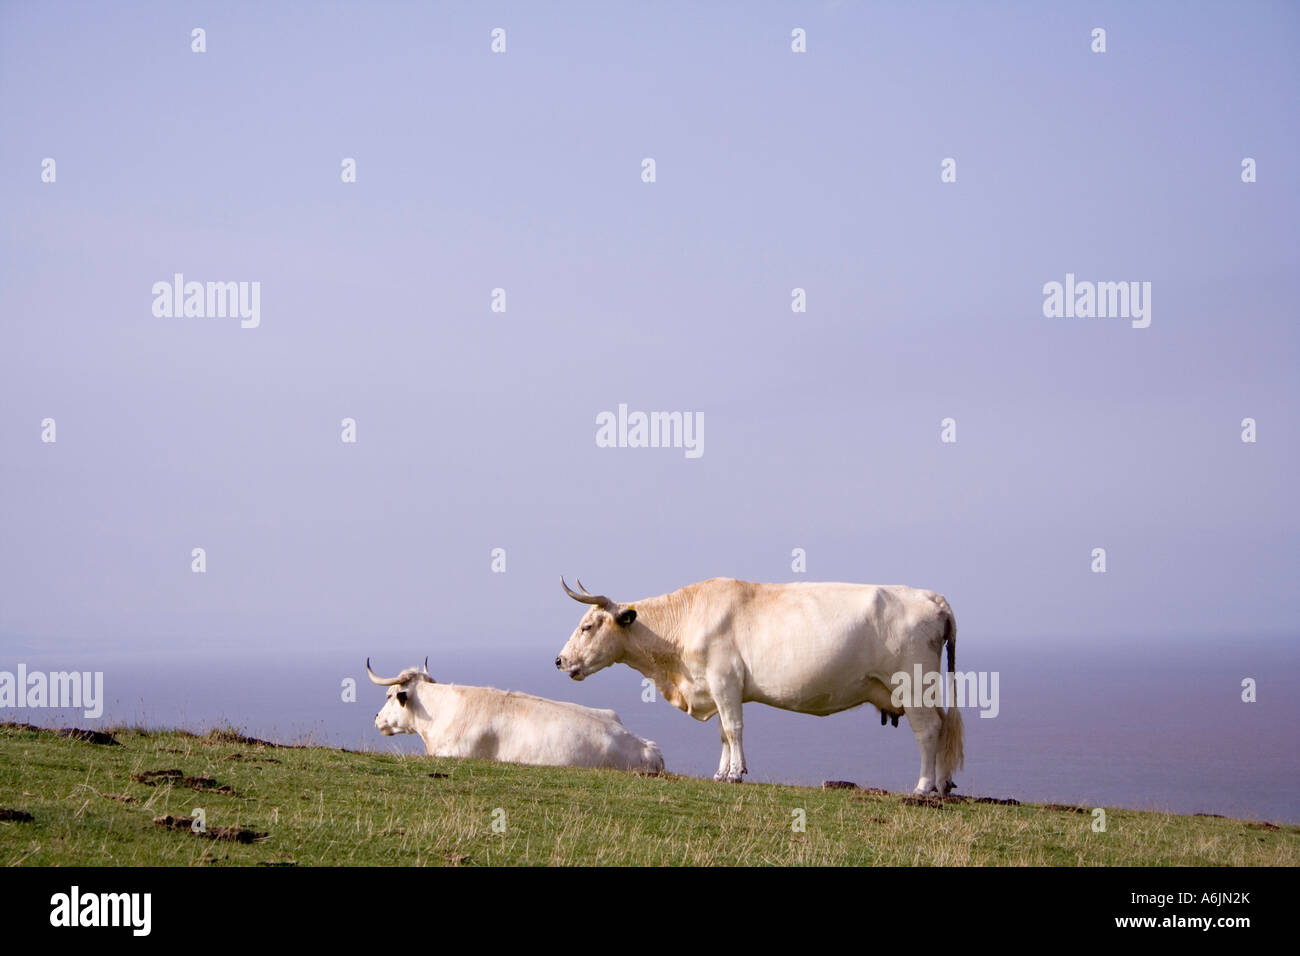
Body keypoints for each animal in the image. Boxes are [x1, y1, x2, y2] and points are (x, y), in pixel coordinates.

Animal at [554, 577, 964, 794]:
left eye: (587, 626)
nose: (559, 661)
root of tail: (932, 597)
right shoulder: (717, 688)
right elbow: (723, 732)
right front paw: (721, 773)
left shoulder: (724, 680)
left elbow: (734, 728)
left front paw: (736, 773)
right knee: (944, 727)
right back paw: (943, 785)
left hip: (913, 685)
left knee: (928, 731)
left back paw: (924, 786)